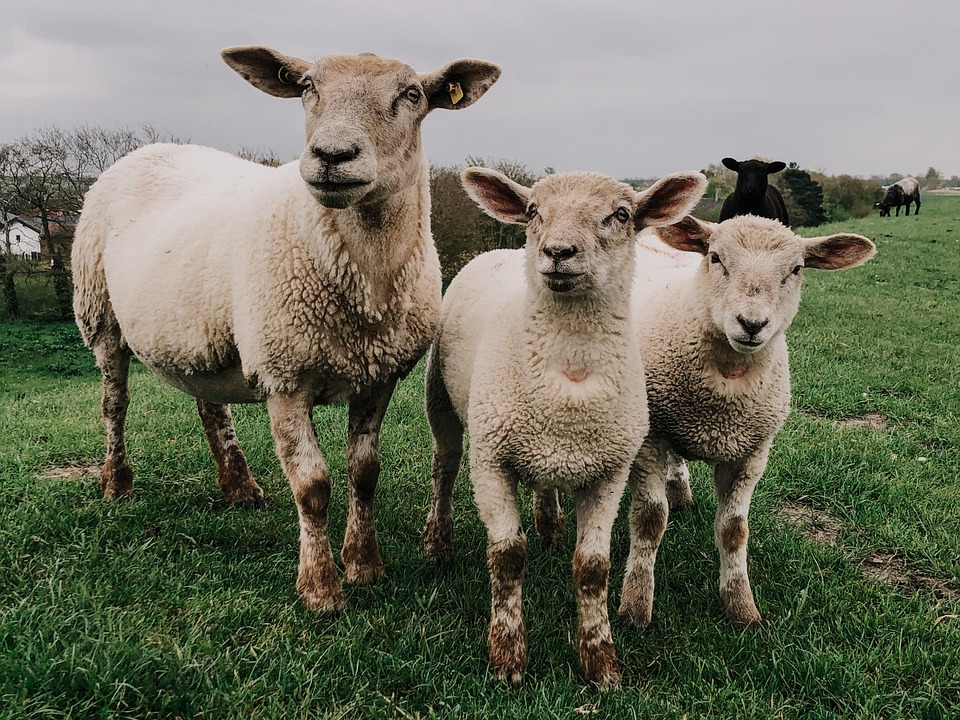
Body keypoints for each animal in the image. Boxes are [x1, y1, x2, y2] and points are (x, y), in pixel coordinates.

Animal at [71, 46, 501, 613]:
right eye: (307, 88)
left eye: (411, 94)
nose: (332, 155)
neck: (363, 280)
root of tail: (152, 148)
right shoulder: (285, 375)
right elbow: (312, 485)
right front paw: (320, 587)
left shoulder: (379, 373)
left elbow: (365, 472)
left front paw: (365, 566)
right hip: (101, 315)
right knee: (113, 404)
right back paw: (117, 483)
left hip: (200, 324)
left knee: (209, 402)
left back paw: (238, 485)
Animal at [421, 167, 708, 685]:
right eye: (534, 211)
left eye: (622, 214)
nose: (557, 252)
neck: (570, 382)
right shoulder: (491, 462)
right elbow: (507, 558)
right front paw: (508, 658)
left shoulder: (609, 471)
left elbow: (593, 568)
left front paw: (600, 662)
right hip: (443, 402)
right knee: (444, 469)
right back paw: (438, 543)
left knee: (543, 483)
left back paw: (550, 526)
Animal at [613, 214, 875, 630]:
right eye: (715, 257)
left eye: (797, 269)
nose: (752, 324)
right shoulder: (650, 439)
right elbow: (650, 520)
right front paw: (636, 606)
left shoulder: (751, 452)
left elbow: (734, 531)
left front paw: (741, 606)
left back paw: (680, 490)